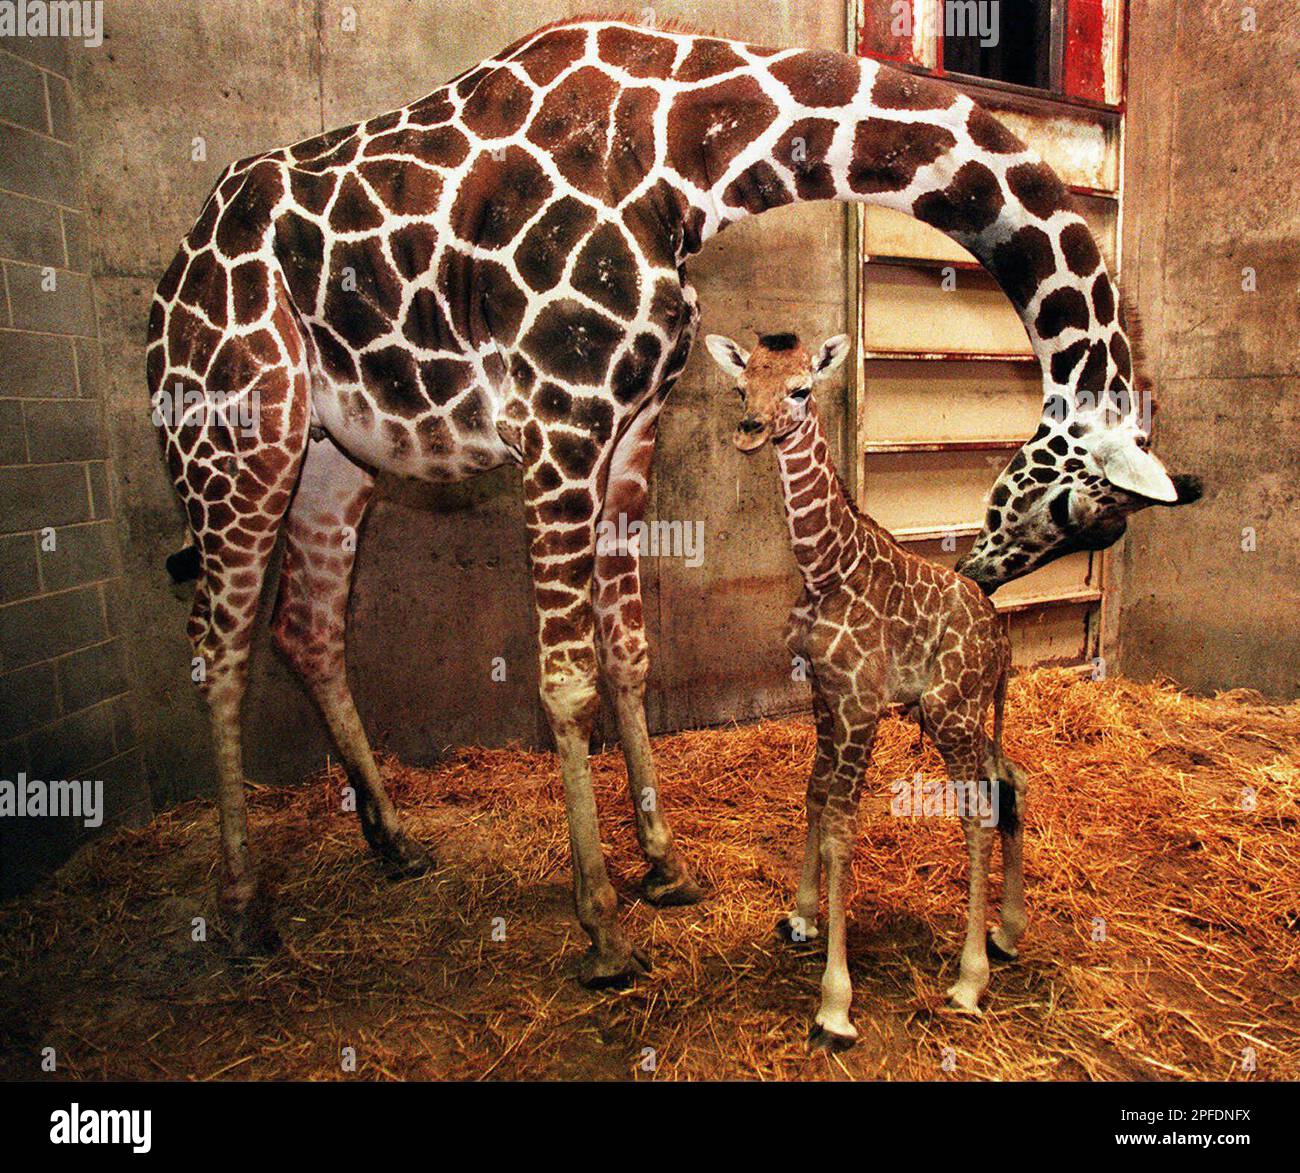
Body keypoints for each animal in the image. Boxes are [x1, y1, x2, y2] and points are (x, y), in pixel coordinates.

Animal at [706, 329, 1027, 1047]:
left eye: (801, 388)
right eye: (741, 387)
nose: (749, 429)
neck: (826, 567)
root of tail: (1002, 638)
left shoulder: (860, 705)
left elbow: (842, 828)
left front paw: (835, 1003)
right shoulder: (822, 697)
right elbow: (814, 795)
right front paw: (800, 915)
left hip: (951, 708)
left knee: (977, 810)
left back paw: (969, 980)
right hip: (963, 714)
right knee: (1011, 777)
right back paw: (1009, 932)